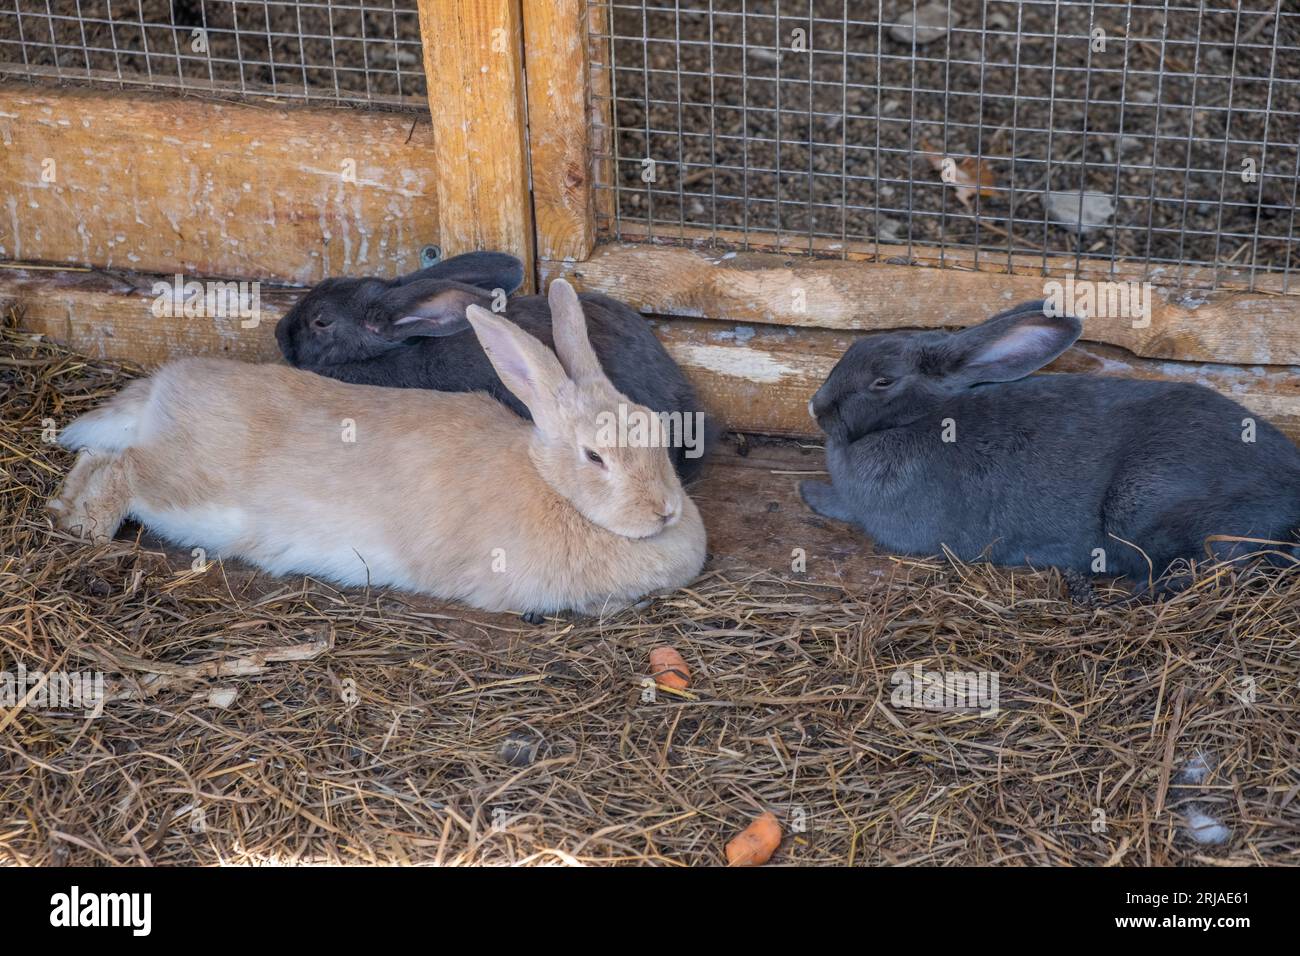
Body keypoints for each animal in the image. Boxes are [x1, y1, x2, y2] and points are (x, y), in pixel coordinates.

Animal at [49, 279, 707, 619]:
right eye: (595, 458)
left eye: (654, 429)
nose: (665, 511)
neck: (553, 488)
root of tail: (165, 387)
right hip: (183, 489)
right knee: (123, 468)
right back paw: (86, 527)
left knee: (95, 458)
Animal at [801, 299, 1300, 593]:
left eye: (883, 381)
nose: (815, 407)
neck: (921, 418)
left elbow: (843, 506)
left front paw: (807, 493)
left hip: (1142, 507)